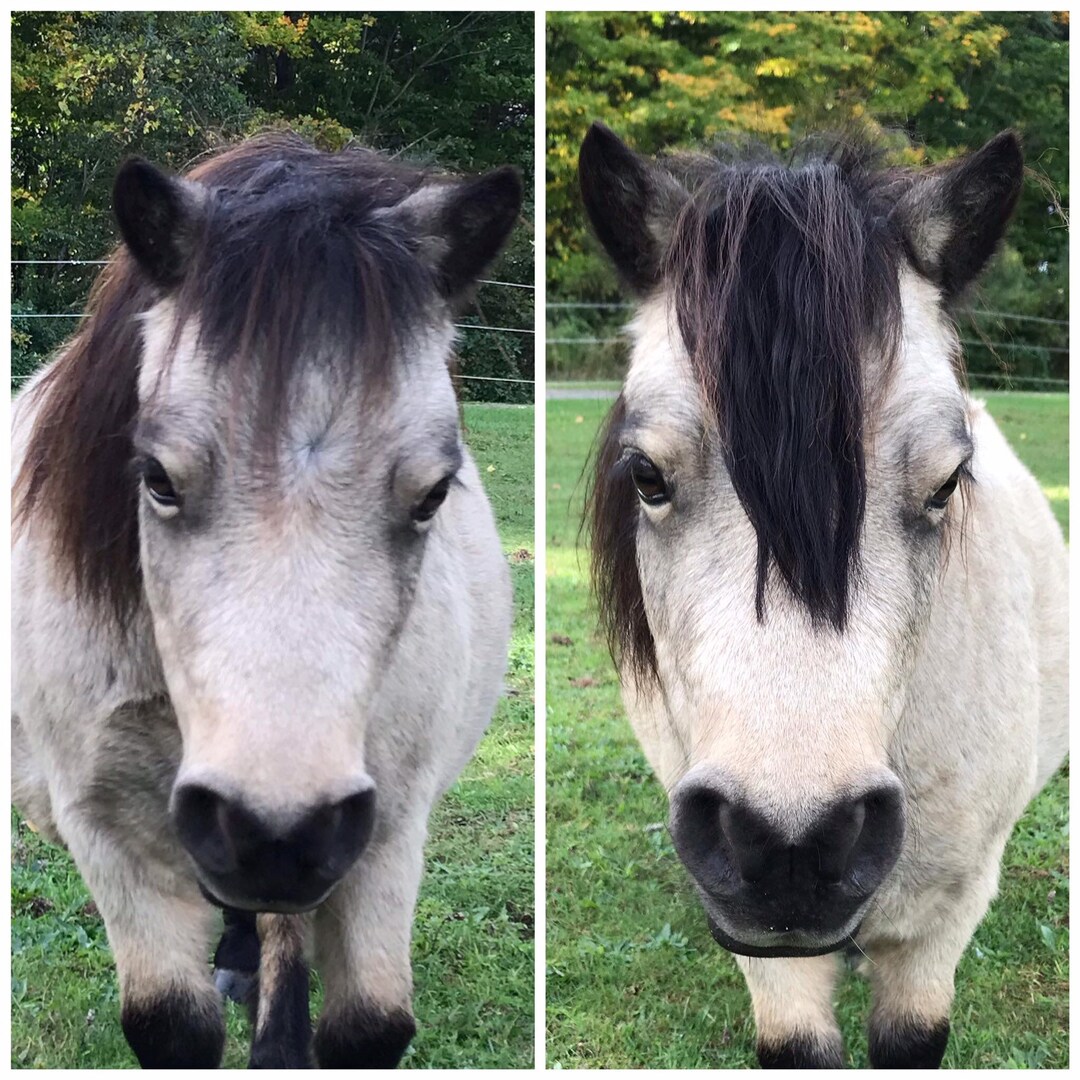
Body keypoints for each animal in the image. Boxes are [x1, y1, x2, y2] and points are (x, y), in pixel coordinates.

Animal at [12, 131, 522, 1068]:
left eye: (434, 494)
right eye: (157, 478)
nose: (275, 835)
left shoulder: (381, 833)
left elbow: (365, 1026)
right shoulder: (113, 841)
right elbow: (172, 1028)